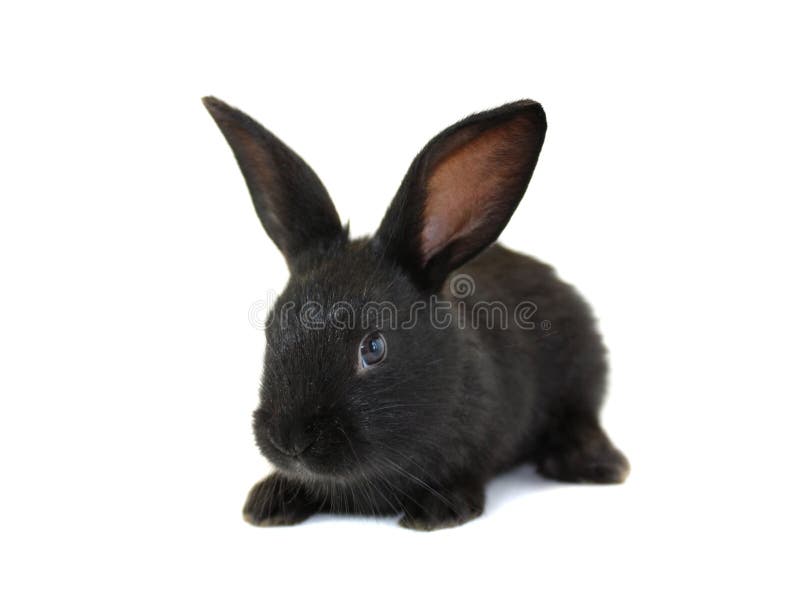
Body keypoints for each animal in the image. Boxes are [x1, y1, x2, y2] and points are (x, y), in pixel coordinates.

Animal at [202, 96, 630, 530]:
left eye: (373, 348)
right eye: (272, 328)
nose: (290, 441)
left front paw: (438, 511)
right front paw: (268, 503)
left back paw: (595, 463)